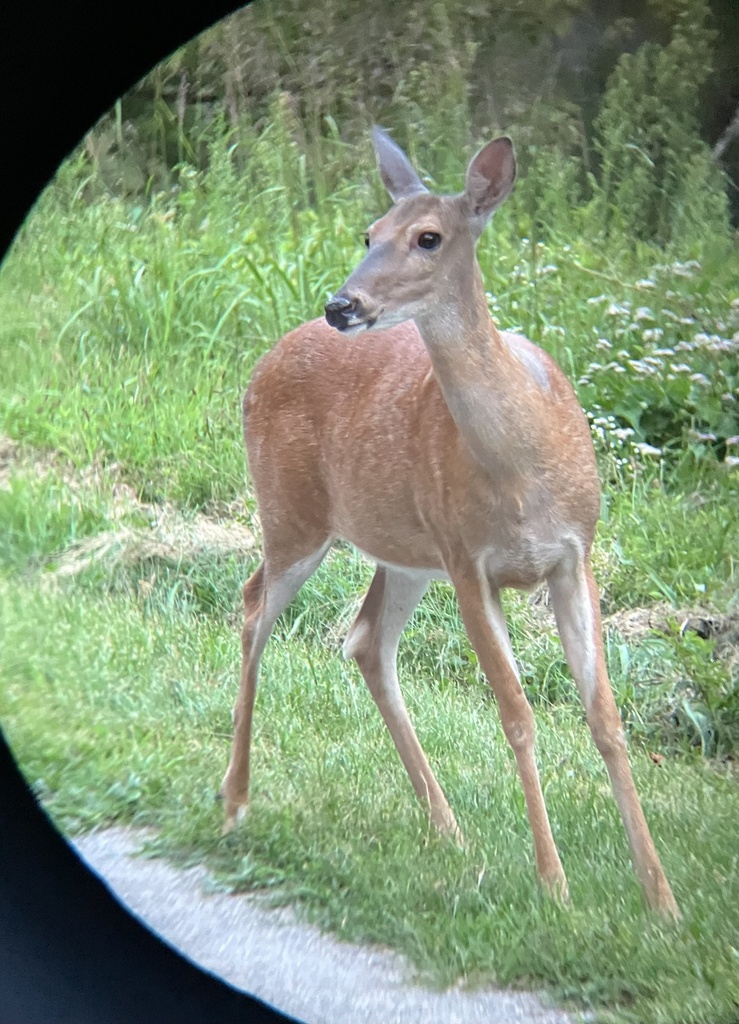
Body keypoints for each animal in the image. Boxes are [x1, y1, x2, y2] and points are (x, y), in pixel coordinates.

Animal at [220, 127, 680, 919]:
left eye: (427, 237)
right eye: (368, 232)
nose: (342, 303)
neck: (520, 468)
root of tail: (262, 363)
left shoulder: (573, 556)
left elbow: (606, 720)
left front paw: (660, 897)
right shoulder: (469, 563)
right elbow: (518, 714)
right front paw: (553, 885)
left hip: (405, 551)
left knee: (366, 640)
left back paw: (447, 827)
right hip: (294, 512)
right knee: (255, 608)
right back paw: (236, 799)